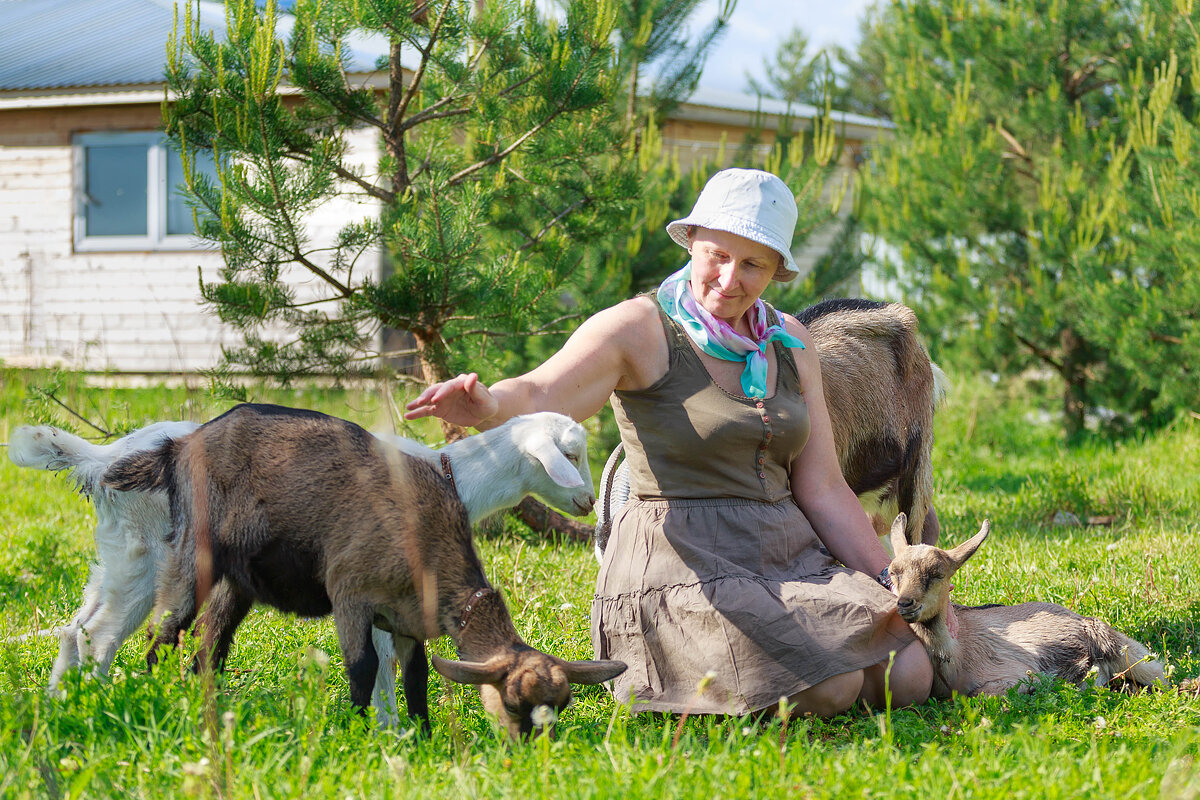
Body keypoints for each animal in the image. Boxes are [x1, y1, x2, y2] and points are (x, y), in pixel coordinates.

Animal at [888, 515, 1166, 695]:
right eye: (894, 572)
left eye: (937, 574)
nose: (906, 603)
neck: (956, 654)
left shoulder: (1014, 673)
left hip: (1128, 653)